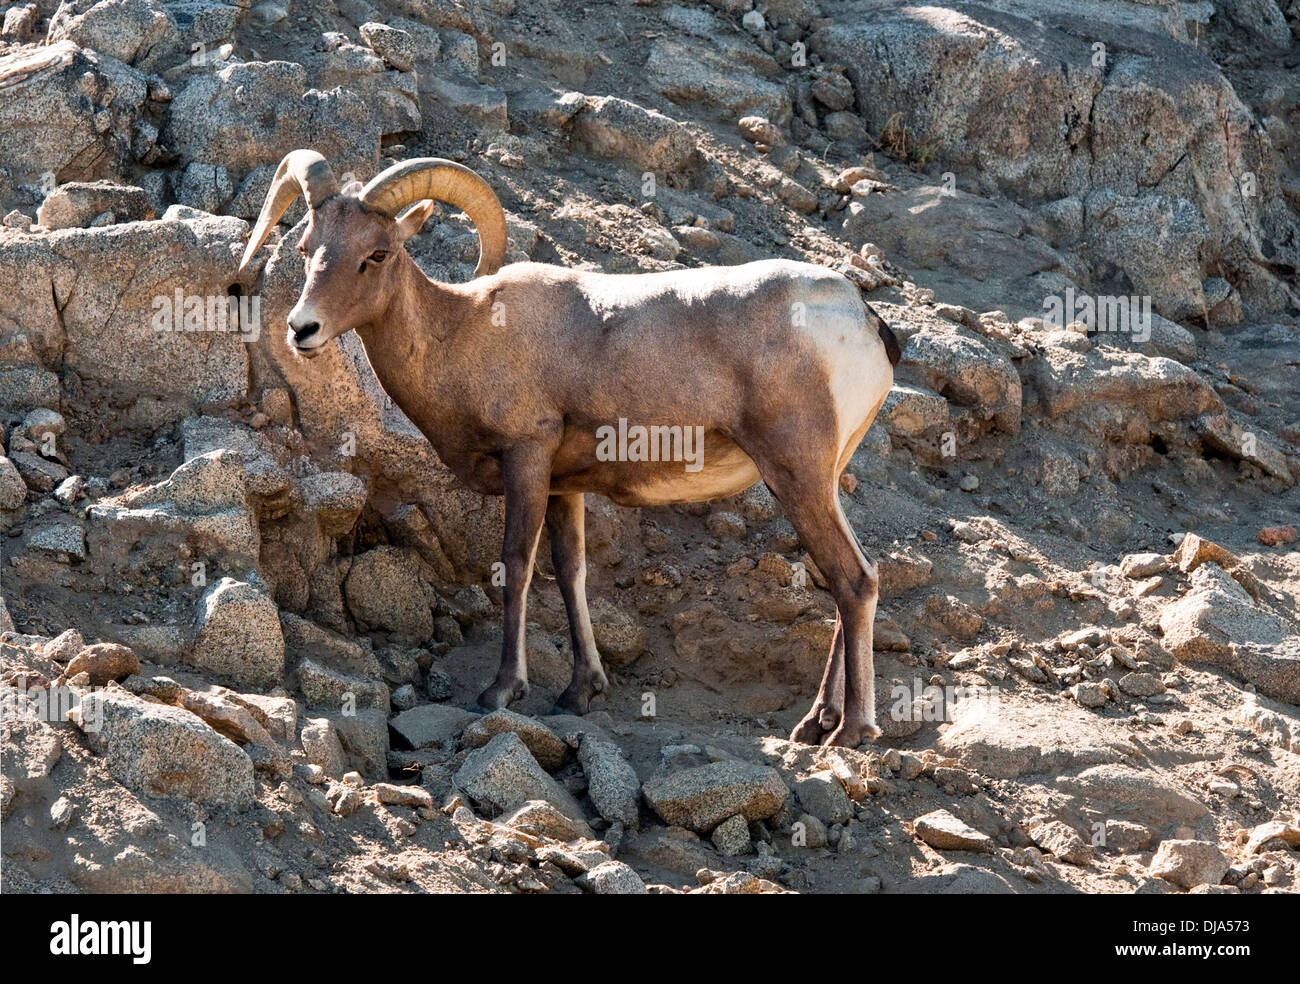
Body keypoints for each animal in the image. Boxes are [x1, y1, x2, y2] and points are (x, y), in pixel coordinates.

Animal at [240, 150, 902, 748]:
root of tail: (861, 317)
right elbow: (570, 572)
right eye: (308, 249)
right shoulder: (565, 487)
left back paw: (851, 732)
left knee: (854, 581)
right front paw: (581, 691)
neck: (465, 334)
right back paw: (815, 721)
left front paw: (502, 690)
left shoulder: (527, 459)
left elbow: (516, 566)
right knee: (850, 578)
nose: (302, 329)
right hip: (819, 480)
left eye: (375, 254)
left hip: (795, 473)